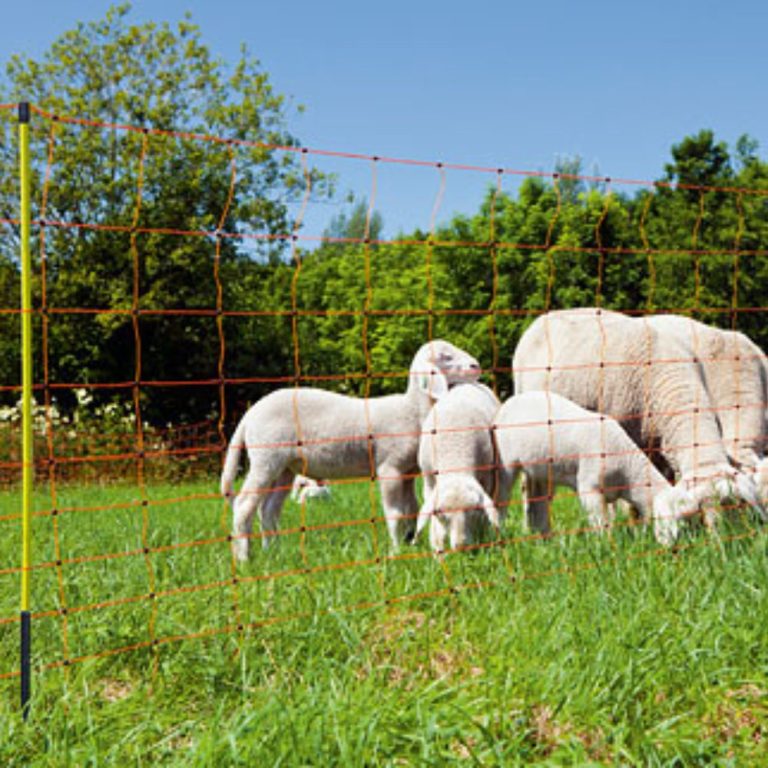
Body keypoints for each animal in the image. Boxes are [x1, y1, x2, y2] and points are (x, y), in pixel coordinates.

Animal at [221, 339, 481, 560]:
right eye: (445, 356)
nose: (476, 365)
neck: (411, 410)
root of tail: (249, 415)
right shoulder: (390, 468)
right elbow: (395, 513)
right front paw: (396, 551)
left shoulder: (407, 471)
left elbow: (412, 510)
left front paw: (411, 544)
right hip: (266, 458)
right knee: (244, 505)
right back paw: (245, 559)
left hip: (285, 467)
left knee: (269, 509)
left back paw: (274, 553)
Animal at [415, 382, 506, 553]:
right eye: (441, 513)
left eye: (475, 510)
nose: (461, 548)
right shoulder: (428, 478)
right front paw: (437, 545)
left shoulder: (486, 476)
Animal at [493, 390, 699, 545]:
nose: (680, 551)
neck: (627, 472)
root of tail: (511, 401)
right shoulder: (589, 487)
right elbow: (601, 523)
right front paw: (605, 546)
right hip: (506, 460)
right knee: (502, 494)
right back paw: (499, 530)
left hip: (540, 469)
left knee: (538, 501)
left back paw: (544, 538)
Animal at [512, 308, 762, 530]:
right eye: (701, 508)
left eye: (736, 505)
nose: (724, 542)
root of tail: (545, 317)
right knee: (532, 488)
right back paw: (534, 530)